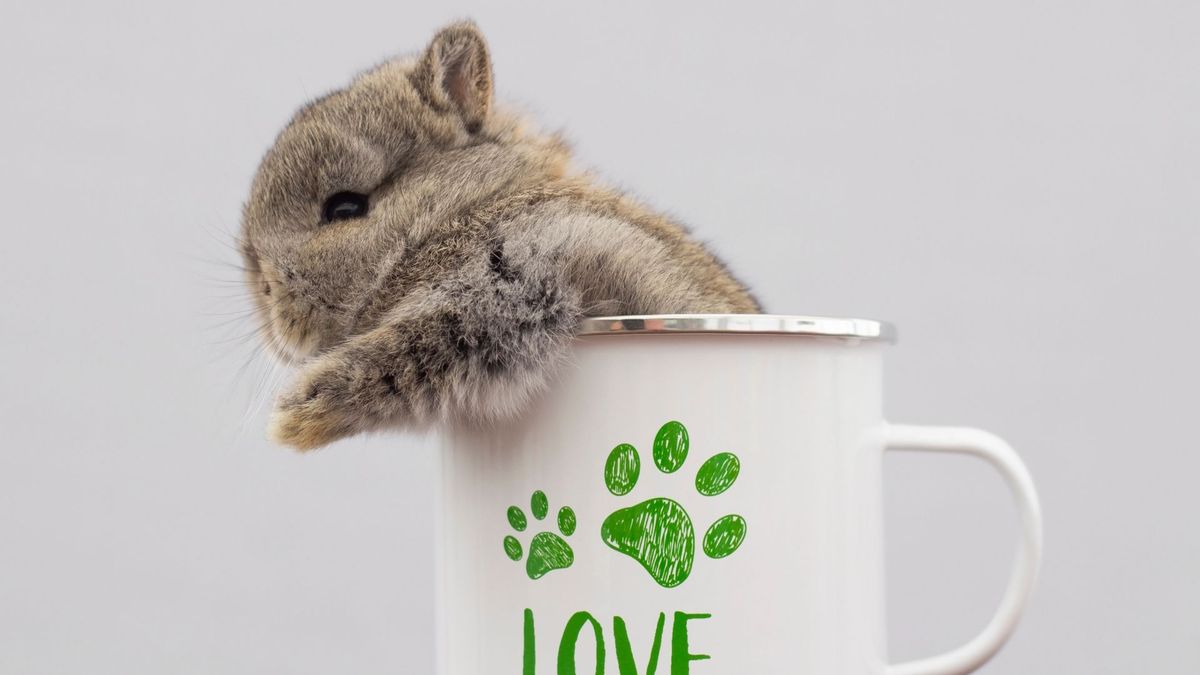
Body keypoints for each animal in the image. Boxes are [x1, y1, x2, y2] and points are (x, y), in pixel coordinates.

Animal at [239, 20, 761, 450]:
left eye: (345, 207)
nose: (266, 297)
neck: (466, 210)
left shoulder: (514, 288)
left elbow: (415, 347)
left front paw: (294, 415)